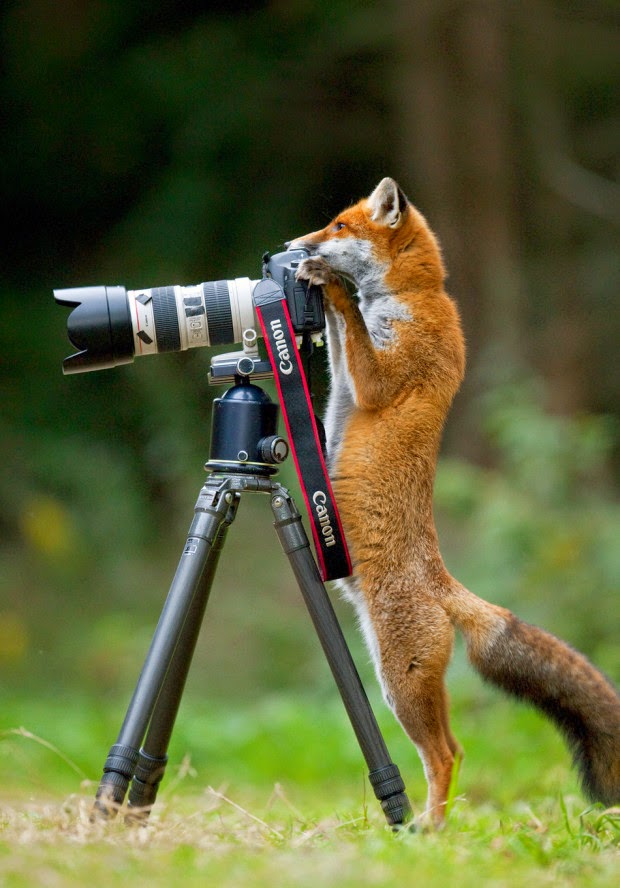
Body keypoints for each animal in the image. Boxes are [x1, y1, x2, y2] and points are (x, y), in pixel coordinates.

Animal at [289, 177, 620, 826]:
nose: (292, 246)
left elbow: (353, 328)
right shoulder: (348, 374)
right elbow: (340, 345)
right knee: (454, 750)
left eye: (338, 227)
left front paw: (332, 287)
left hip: (398, 680)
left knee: (447, 754)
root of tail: (443, 583)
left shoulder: (384, 377)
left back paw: (432, 828)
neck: (413, 298)